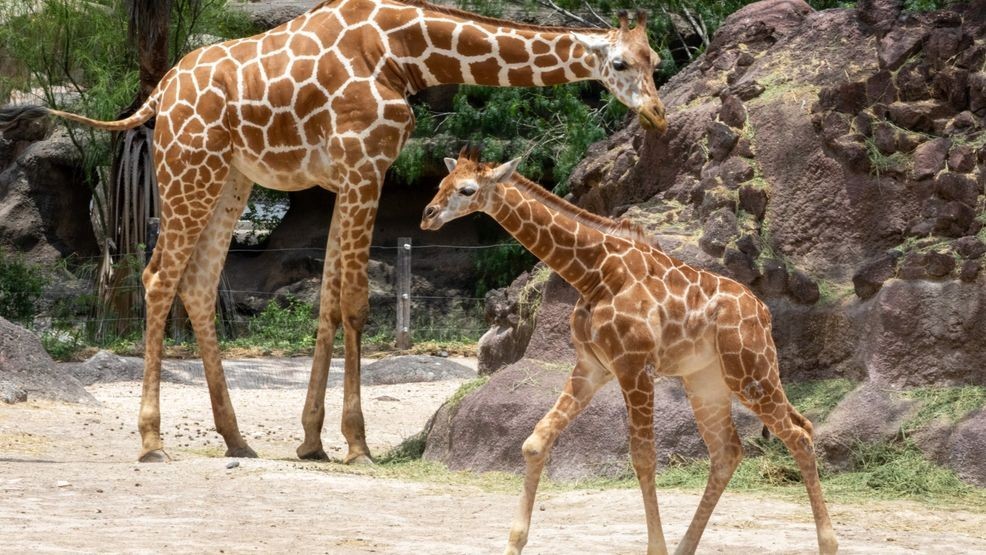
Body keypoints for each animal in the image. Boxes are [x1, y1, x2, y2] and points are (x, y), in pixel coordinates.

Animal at [0, 1, 666, 463]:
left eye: (656, 62)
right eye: (619, 63)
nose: (658, 115)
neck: (403, 51)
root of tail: (160, 91)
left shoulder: (347, 175)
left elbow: (325, 298)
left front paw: (311, 440)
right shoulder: (364, 165)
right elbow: (354, 302)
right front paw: (357, 442)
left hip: (232, 177)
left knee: (198, 283)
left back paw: (237, 439)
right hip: (188, 166)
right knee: (159, 275)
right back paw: (151, 441)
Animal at [420, 148, 839, 555]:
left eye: (468, 190)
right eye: (441, 183)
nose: (427, 216)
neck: (593, 273)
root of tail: (764, 311)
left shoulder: (635, 366)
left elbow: (643, 458)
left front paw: (656, 547)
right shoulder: (591, 367)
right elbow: (535, 441)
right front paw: (514, 544)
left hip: (750, 370)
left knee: (799, 434)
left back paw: (828, 544)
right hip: (706, 380)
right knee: (729, 451)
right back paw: (686, 546)